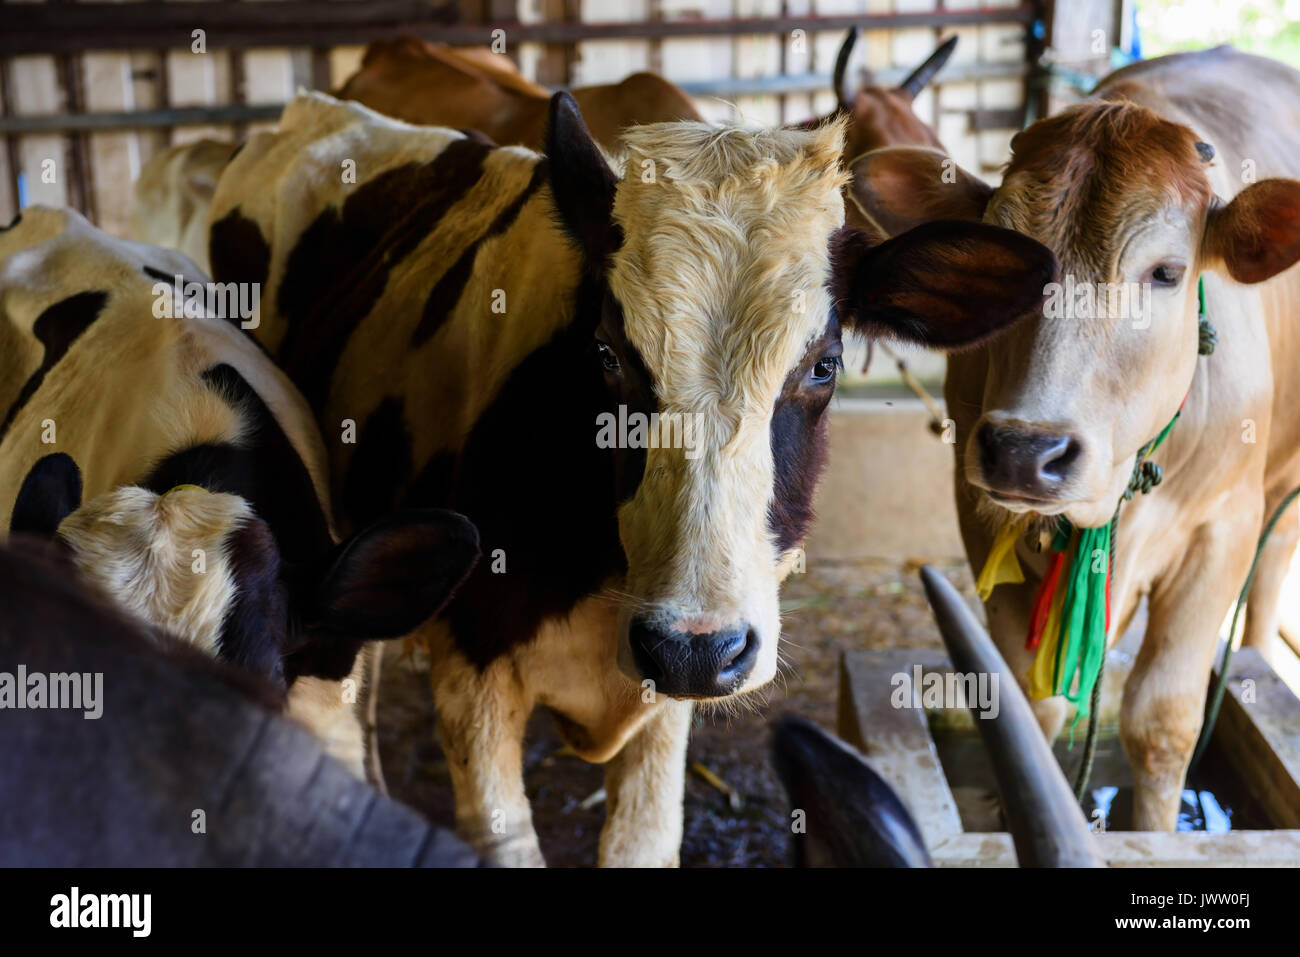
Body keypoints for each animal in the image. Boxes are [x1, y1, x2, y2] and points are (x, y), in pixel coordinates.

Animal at [847, 45, 1300, 830]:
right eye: (1001, 265)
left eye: (1167, 273)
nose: (1026, 451)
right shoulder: (981, 511)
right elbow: (1033, 707)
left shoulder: (1222, 527)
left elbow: (1161, 721)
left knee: (1272, 573)